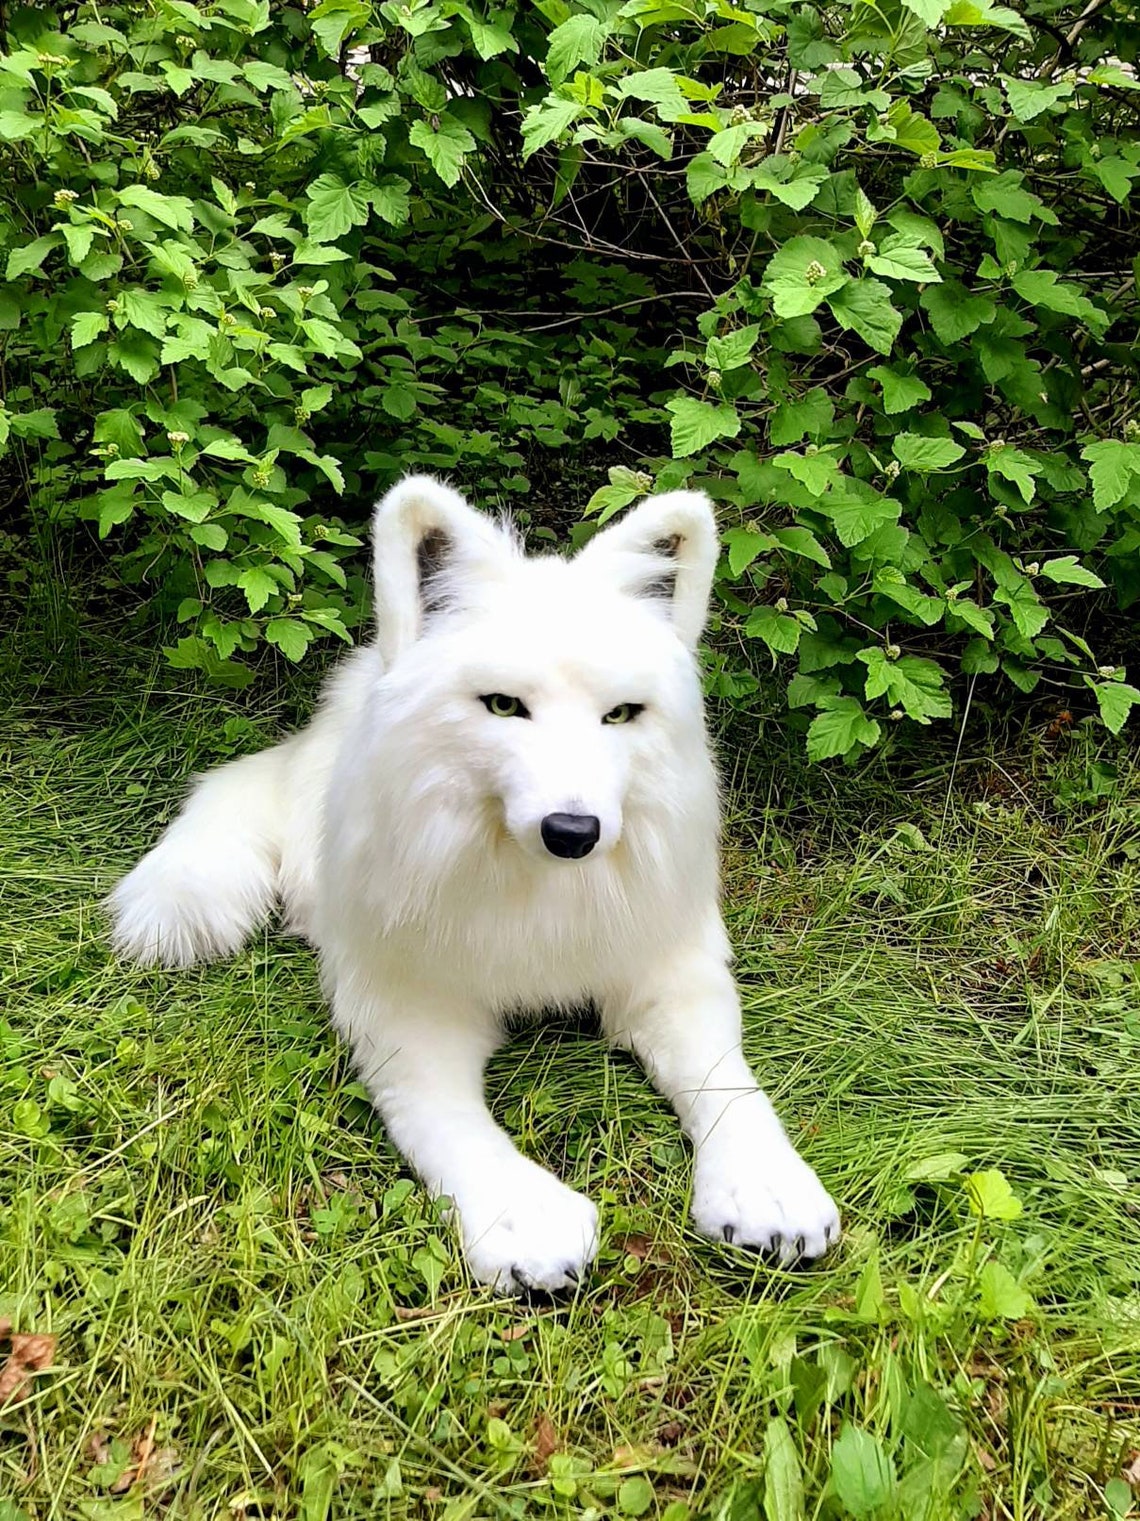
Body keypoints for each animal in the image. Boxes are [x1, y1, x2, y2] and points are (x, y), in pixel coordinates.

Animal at [108, 476, 840, 1291]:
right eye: (502, 705)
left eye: (621, 714)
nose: (572, 832)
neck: (533, 889)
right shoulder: (409, 1013)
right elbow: (452, 1127)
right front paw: (522, 1215)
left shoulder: (671, 974)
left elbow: (724, 1080)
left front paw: (763, 1184)